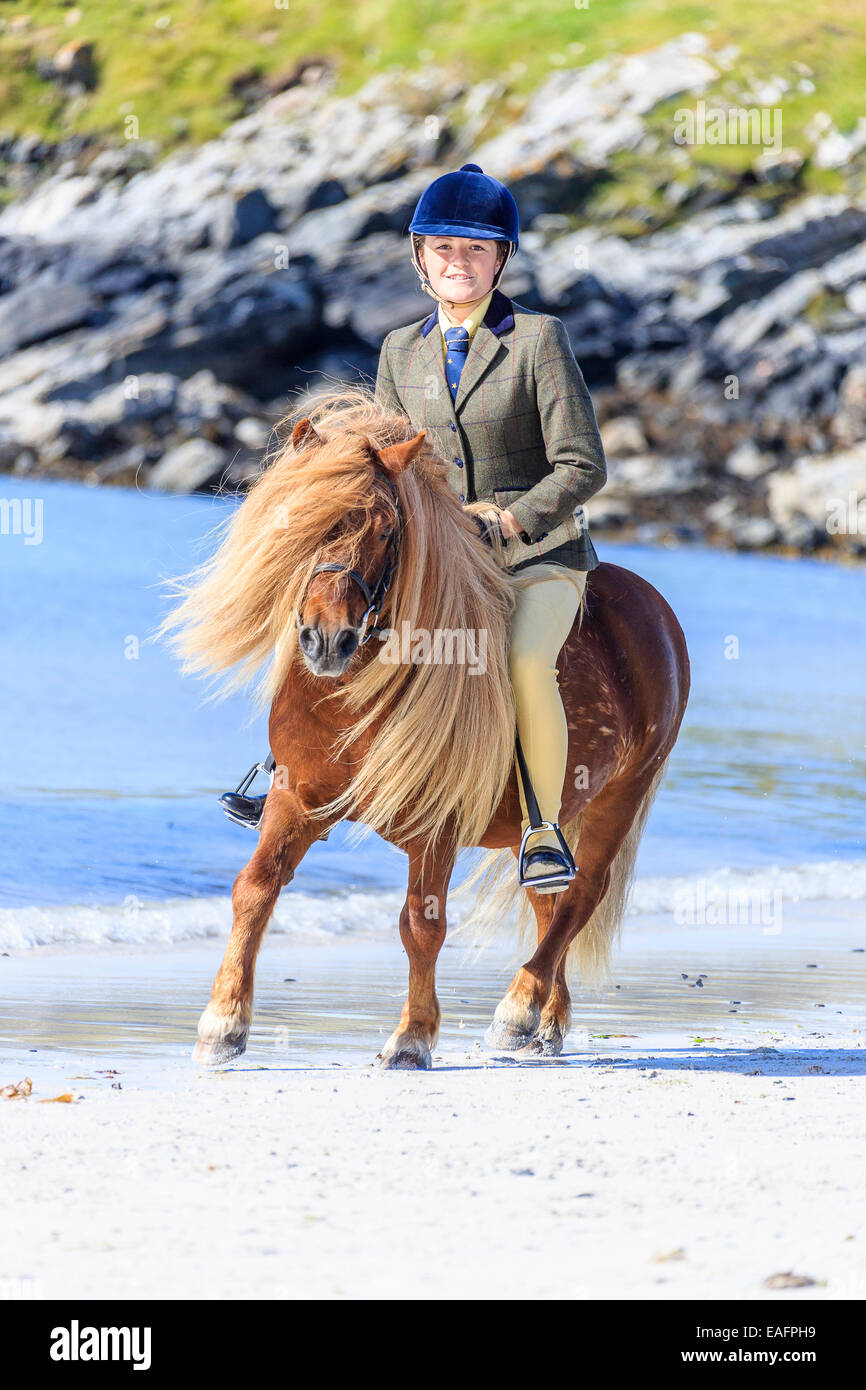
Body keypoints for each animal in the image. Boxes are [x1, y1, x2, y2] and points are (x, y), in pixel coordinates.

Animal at [162, 385, 690, 1069]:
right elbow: (254, 890)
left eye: (388, 531)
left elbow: (422, 924)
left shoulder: (436, 827)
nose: (327, 641)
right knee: (548, 901)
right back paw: (547, 1023)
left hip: (620, 797)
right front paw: (223, 1024)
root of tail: (653, 607)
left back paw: (518, 1011)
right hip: (538, 820)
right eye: (297, 522)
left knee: (581, 897)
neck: (355, 697)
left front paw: (411, 1038)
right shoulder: (295, 798)